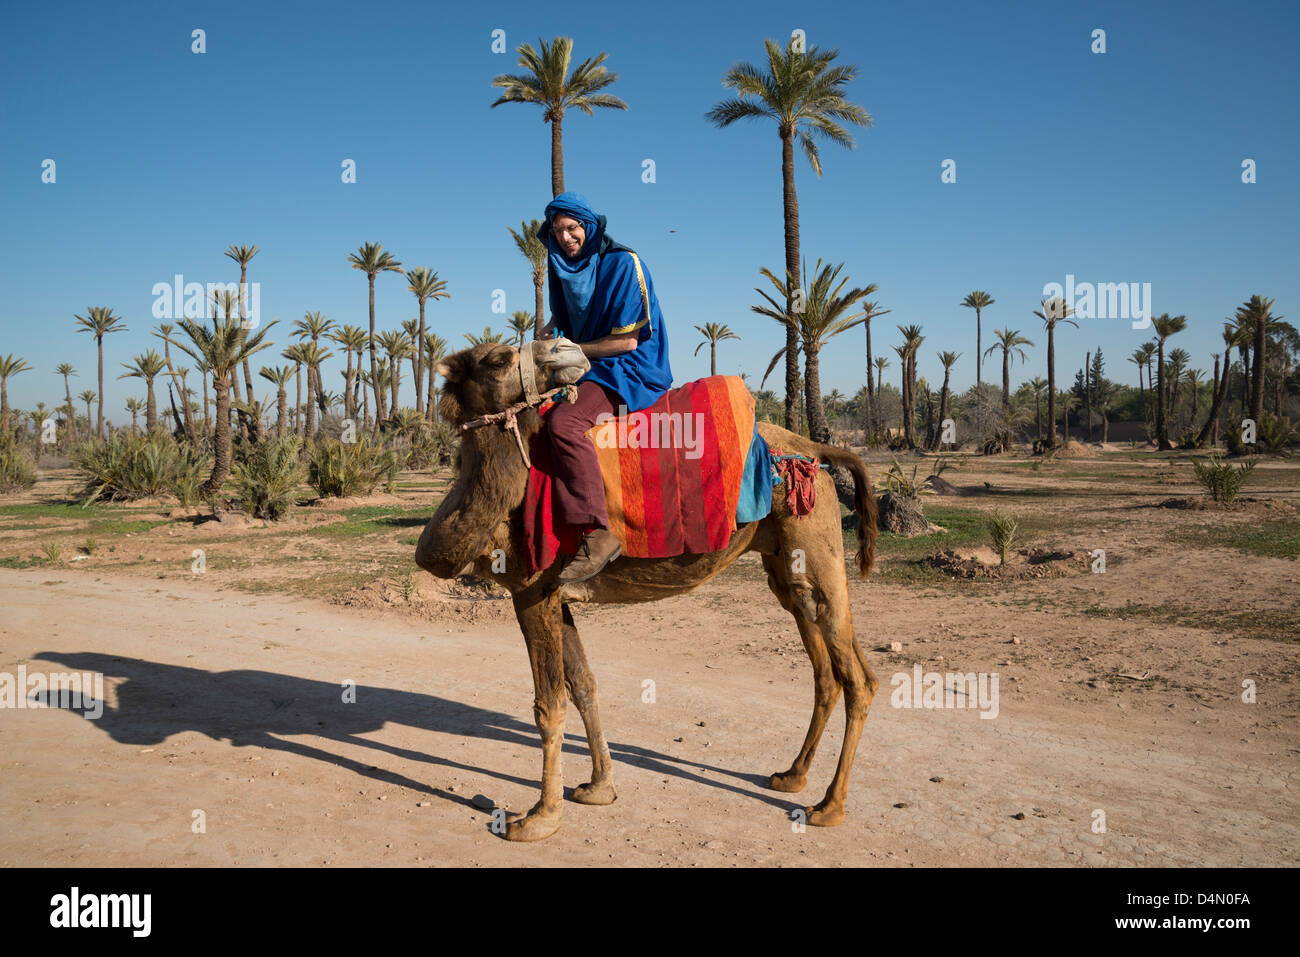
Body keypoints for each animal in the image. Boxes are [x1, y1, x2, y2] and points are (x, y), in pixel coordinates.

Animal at [415, 343, 881, 842]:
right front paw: (599, 787)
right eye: (500, 359)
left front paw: (540, 817)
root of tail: (814, 450)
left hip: (814, 537)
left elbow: (549, 704)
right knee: (826, 667)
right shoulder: (556, 593)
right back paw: (792, 775)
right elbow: (584, 685)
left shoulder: (531, 589)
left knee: (857, 677)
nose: (563, 350)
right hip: (785, 562)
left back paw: (829, 805)